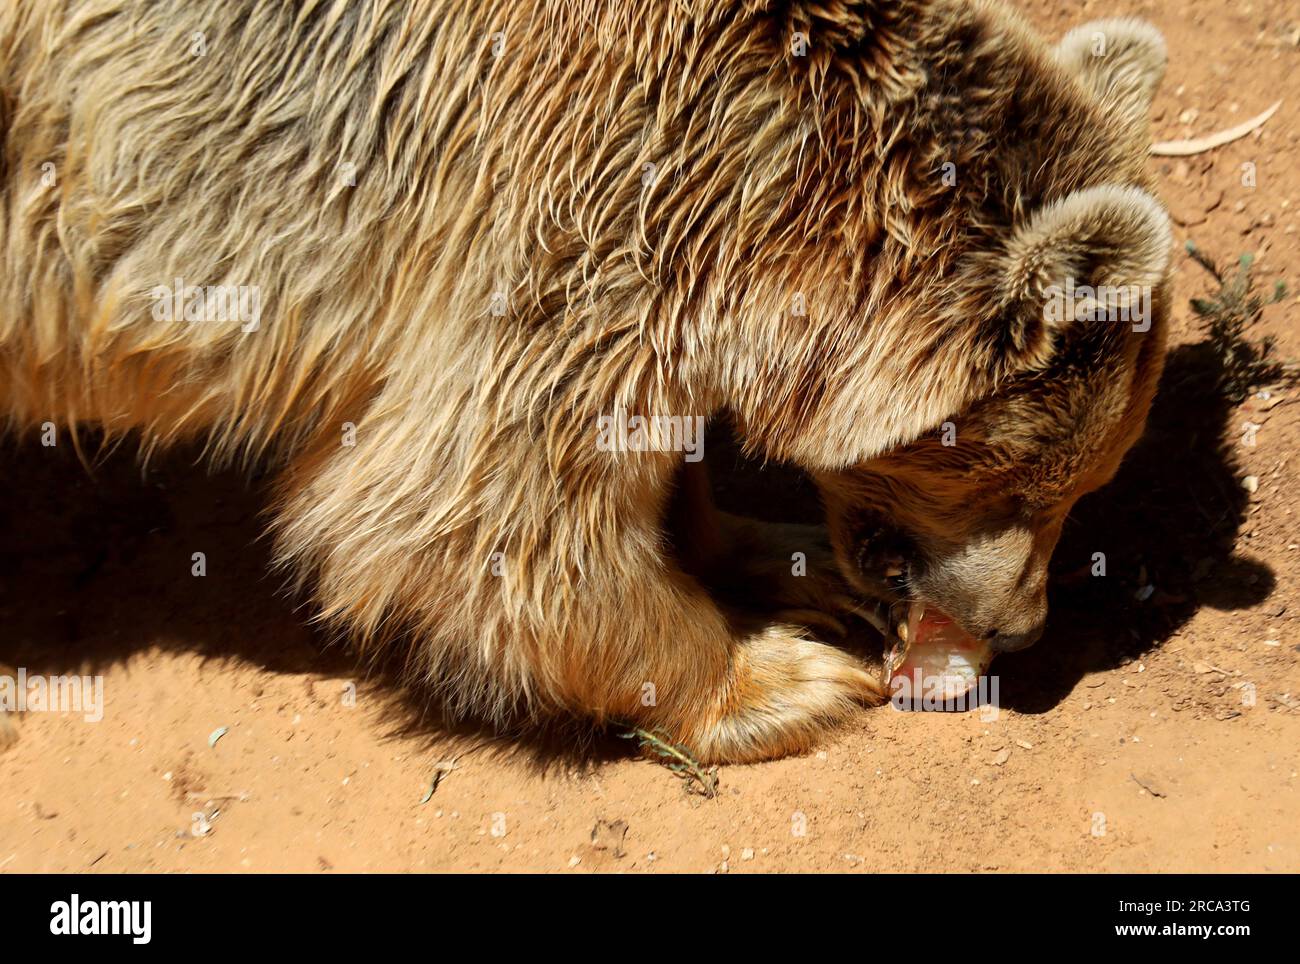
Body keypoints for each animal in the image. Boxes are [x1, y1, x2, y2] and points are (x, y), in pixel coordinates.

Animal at [0, 0, 1171, 762]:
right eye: (1039, 484)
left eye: (1089, 480)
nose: (1020, 622)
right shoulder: (560, 187)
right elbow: (480, 505)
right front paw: (784, 678)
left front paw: (776, 556)